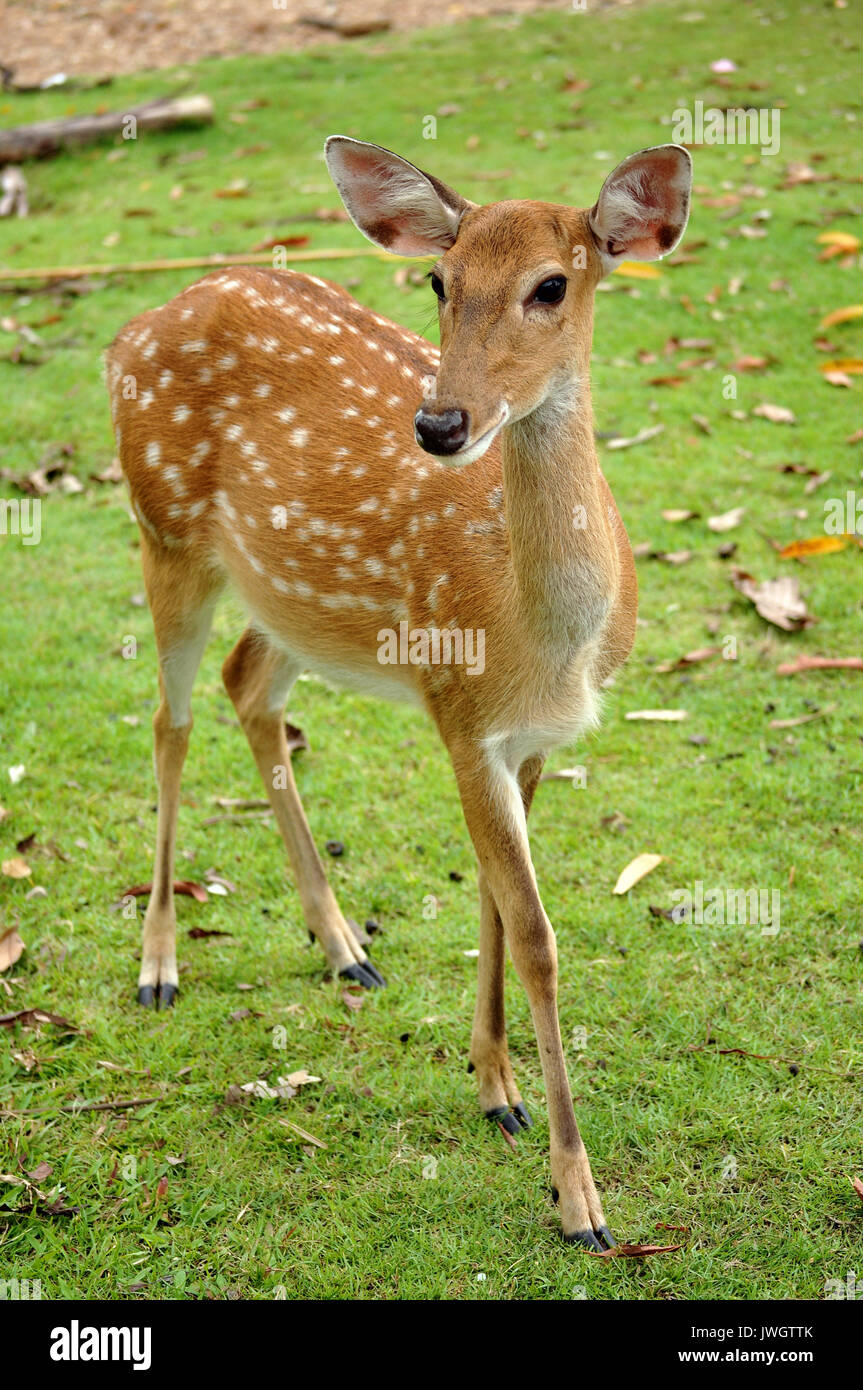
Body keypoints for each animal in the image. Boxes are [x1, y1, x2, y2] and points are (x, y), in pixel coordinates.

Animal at [106, 137, 691, 1249]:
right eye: (437, 282)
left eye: (551, 285)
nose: (439, 421)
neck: (544, 638)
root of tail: (137, 322)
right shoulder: (456, 711)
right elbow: (538, 937)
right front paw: (578, 1200)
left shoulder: (528, 738)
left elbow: (500, 910)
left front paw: (494, 1086)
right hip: (165, 531)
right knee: (168, 719)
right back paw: (159, 963)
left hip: (284, 601)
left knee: (250, 689)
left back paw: (343, 946)